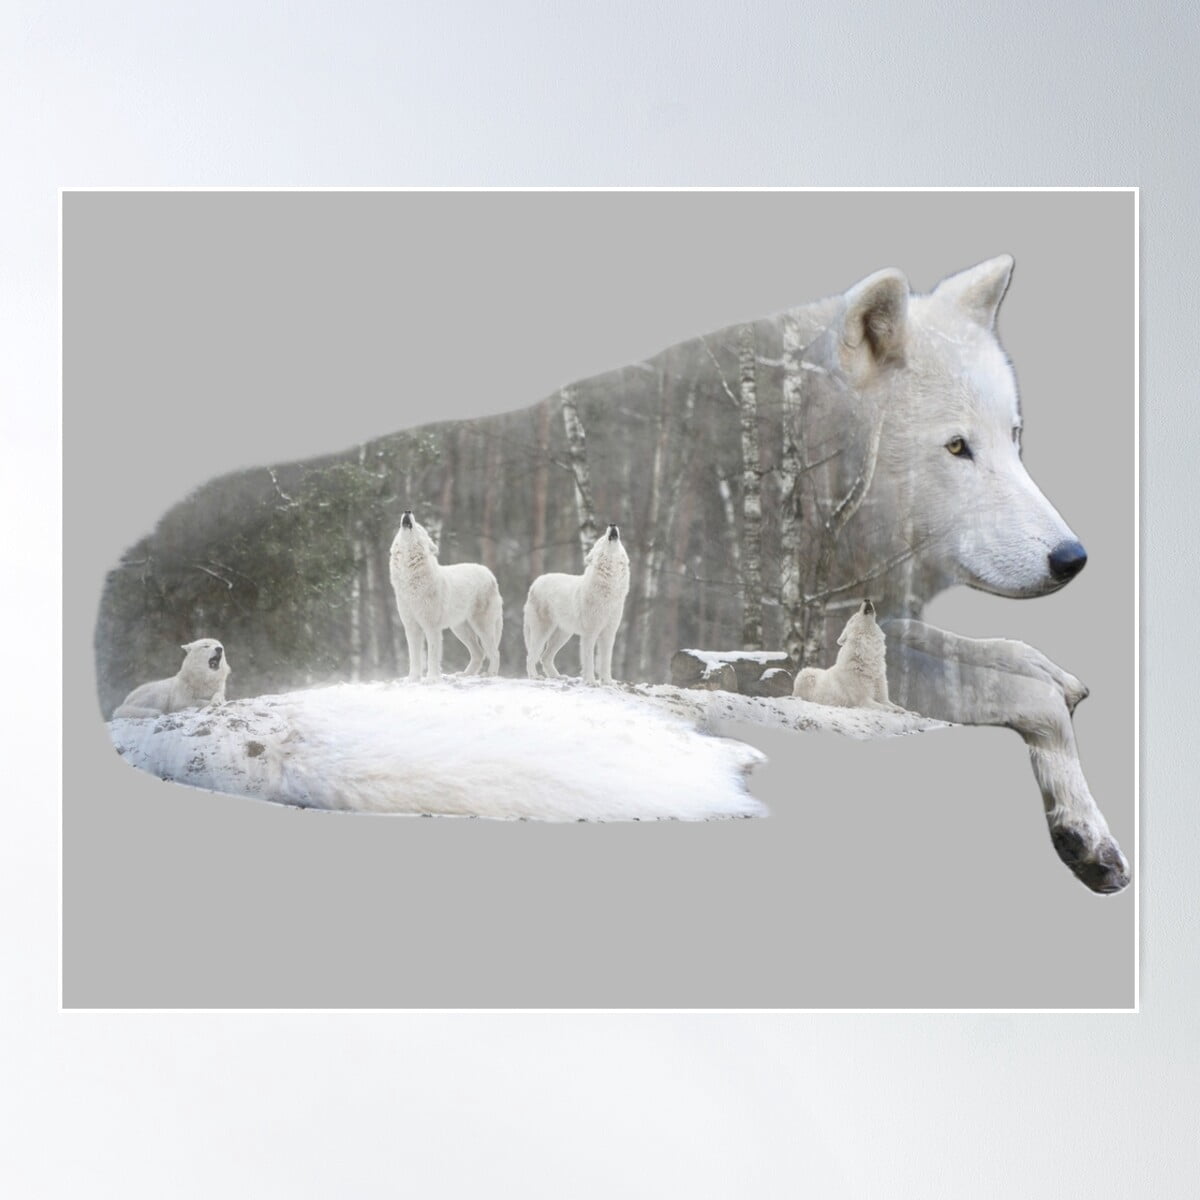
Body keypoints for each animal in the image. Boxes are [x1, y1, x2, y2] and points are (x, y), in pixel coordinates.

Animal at [389, 511, 503, 681]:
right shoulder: (411, 627)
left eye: (419, 528)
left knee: (495, 652)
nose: (408, 511)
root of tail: (490, 574)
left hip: (482, 627)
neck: (409, 580)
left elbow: (432, 655)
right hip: (460, 629)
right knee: (479, 653)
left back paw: (490, 675)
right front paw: (413, 678)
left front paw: (432, 678)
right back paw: (465, 674)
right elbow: (414, 657)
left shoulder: (432, 627)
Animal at [525, 523, 631, 684]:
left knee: (545, 657)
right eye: (601, 540)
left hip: (563, 635)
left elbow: (606, 661)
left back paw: (557, 676)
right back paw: (534, 676)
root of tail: (535, 583)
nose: (612, 524)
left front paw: (607, 681)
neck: (610, 588)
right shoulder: (590, 634)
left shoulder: (609, 633)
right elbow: (589, 660)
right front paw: (591, 681)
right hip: (542, 632)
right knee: (531, 656)